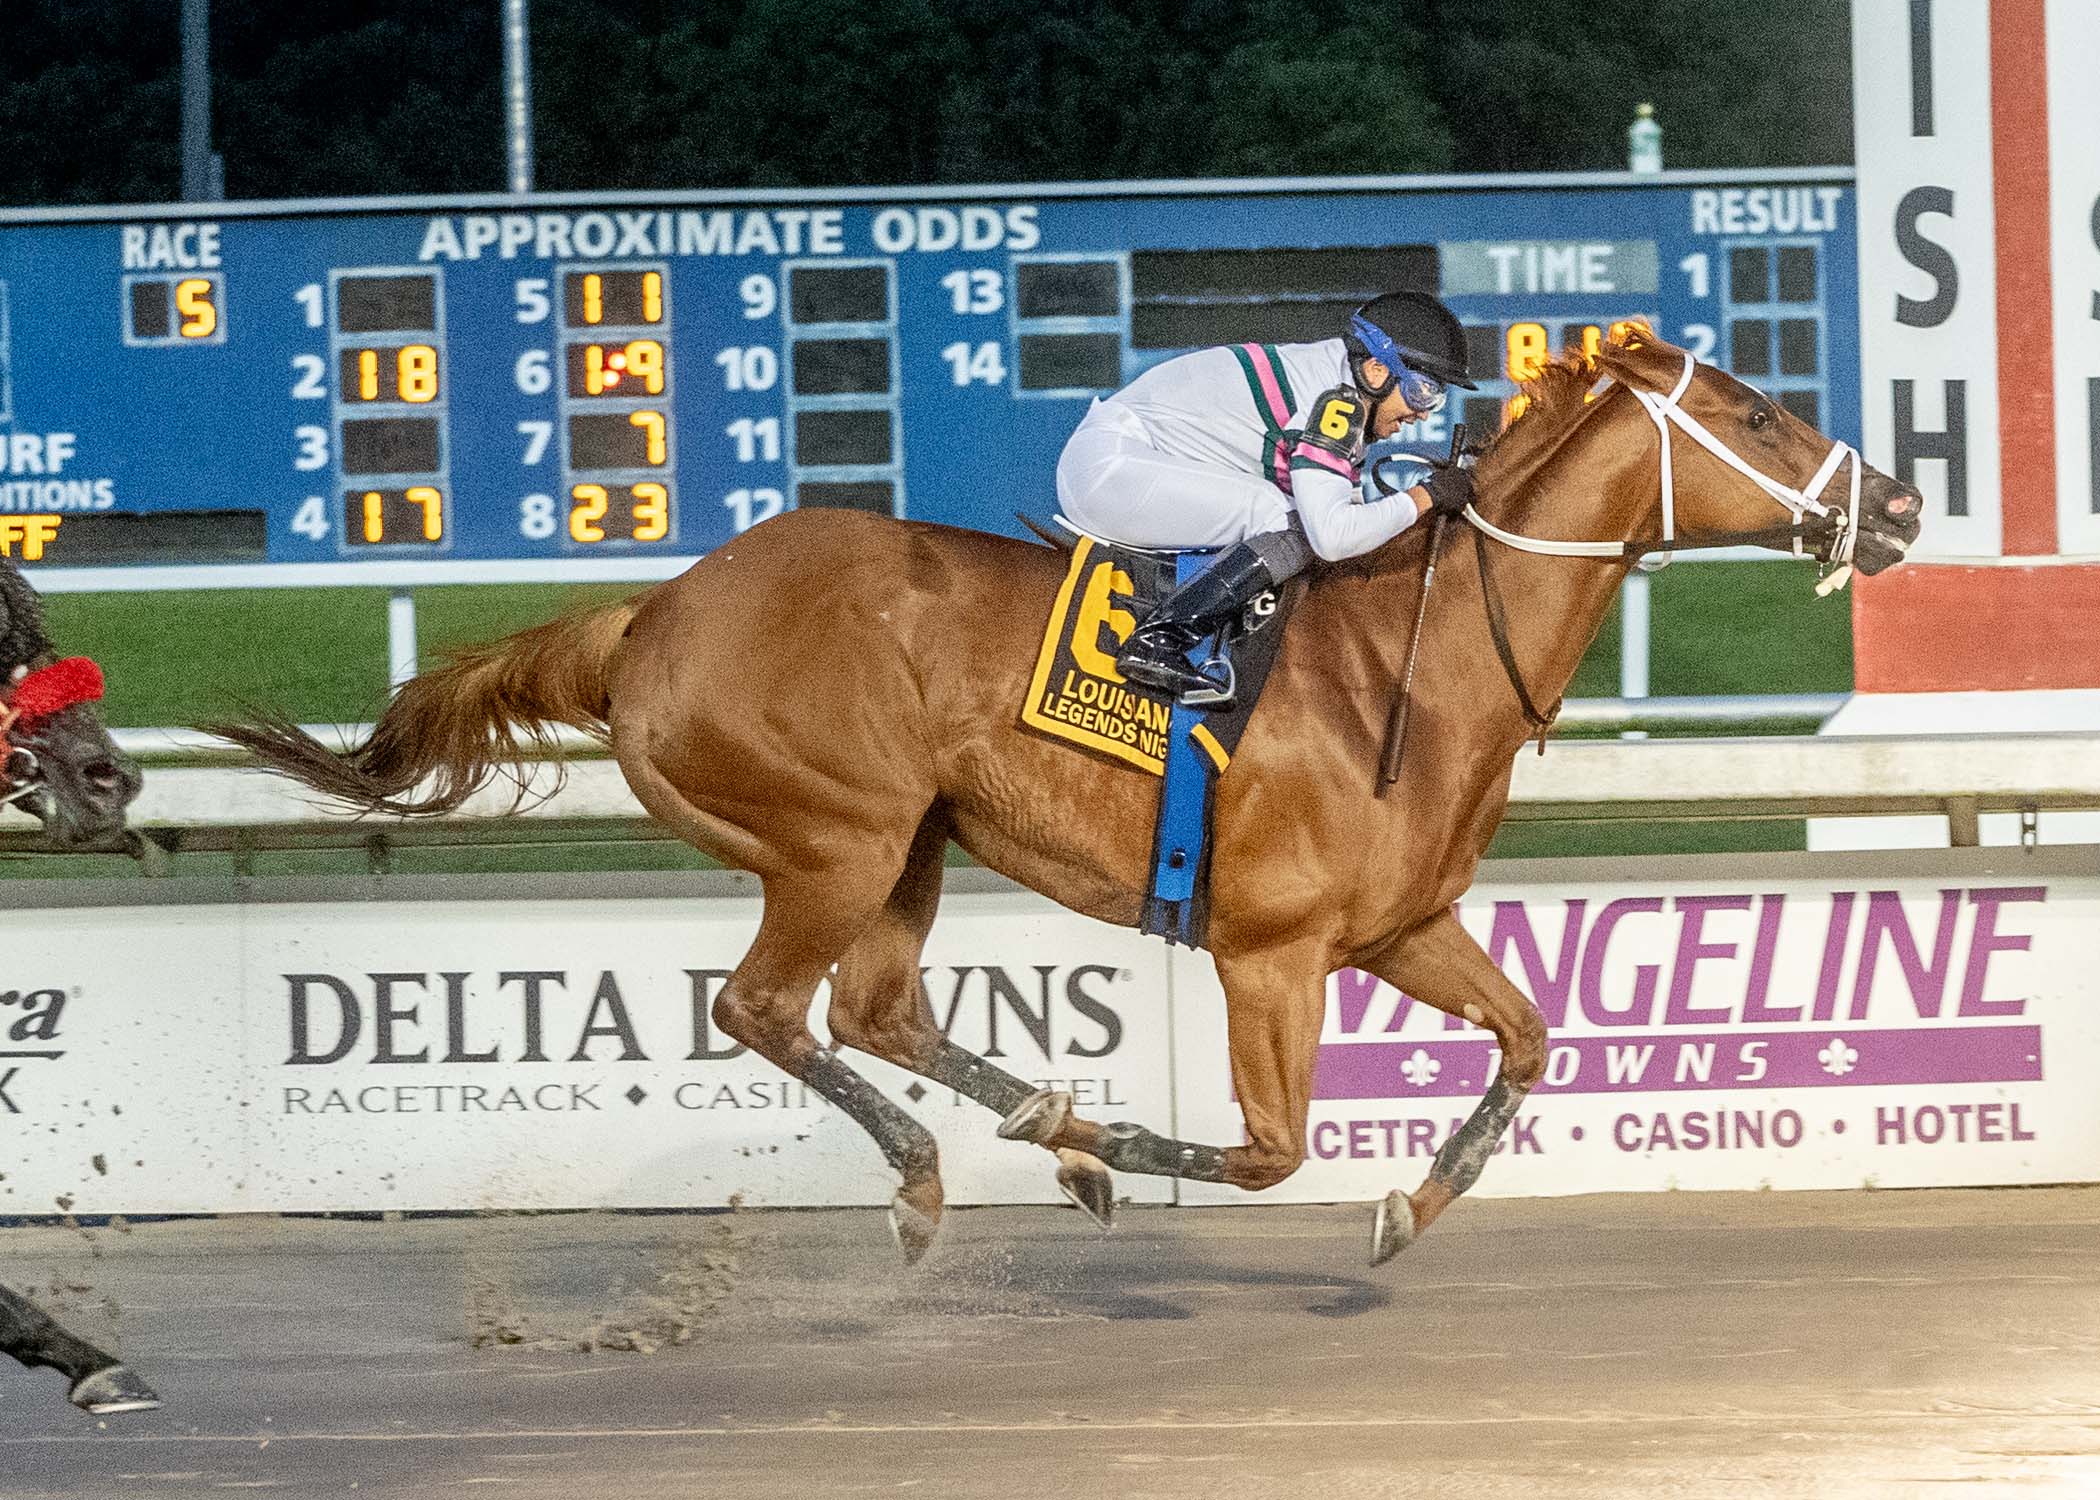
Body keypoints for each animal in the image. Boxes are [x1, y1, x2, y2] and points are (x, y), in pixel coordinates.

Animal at [213, 328, 1922, 1266]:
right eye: (1757, 414)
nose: (1899, 502)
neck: (1412, 659)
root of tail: (656, 613)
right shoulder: (1271, 951)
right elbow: (1269, 1151)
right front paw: (1141, 1149)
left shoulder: (1398, 927)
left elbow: (1528, 1041)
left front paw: (1403, 1207)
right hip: (835, 834)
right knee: (768, 1009)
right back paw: (951, 1174)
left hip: (910, 845)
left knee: (876, 1010)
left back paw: (1036, 1129)